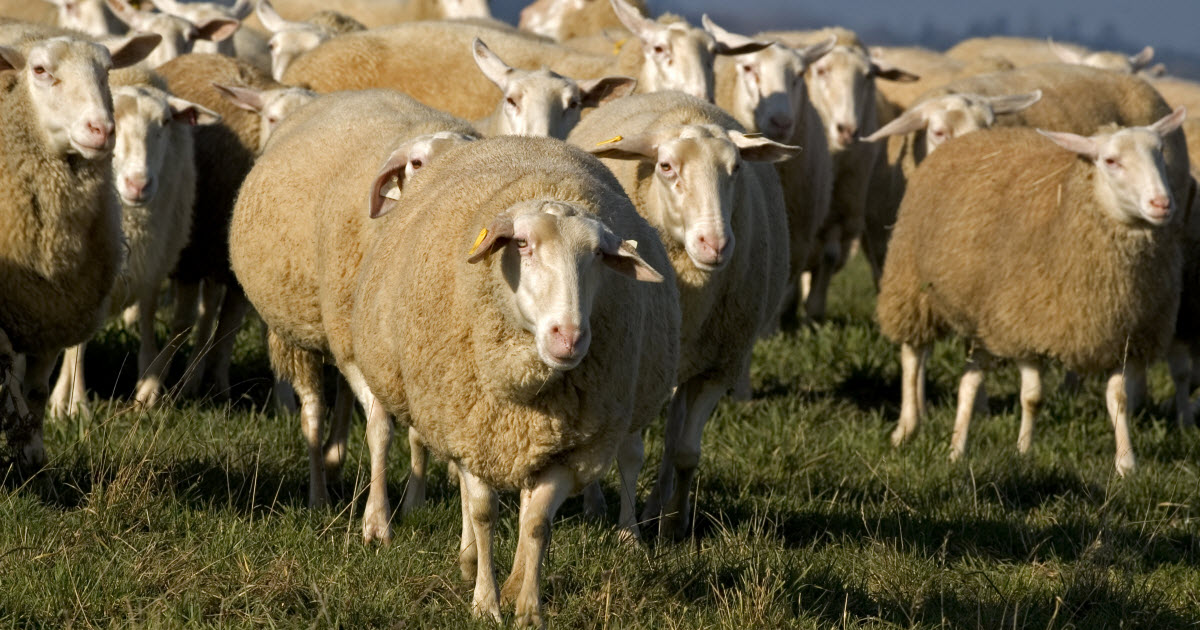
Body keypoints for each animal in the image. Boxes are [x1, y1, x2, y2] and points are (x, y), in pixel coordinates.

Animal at [0, 31, 161, 467]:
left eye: (107, 70)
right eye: (39, 70)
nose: (101, 129)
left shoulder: (52, 314)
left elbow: (36, 393)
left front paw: (32, 457)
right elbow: (9, 380)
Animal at [48, 67, 221, 417]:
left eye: (165, 122)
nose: (138, 184)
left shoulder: (154, 259)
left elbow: (149, 314)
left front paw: (148, 386)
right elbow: (77, 342)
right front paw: (71, 402)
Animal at [346, 134, 678, 625]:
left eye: (600, 255)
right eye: (521, 244)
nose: (569, 337)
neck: (529, 388)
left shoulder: (566, 447)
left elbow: (537, 523)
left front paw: (528, 607)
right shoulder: (468, 425)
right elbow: (483, 511)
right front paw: (485, 603)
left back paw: (515, 574)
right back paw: (450, 551)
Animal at [568, 91, 796, 539]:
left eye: (736, 168)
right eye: (666, 166)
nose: (715, 244)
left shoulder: (717, 366)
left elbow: (686, 451)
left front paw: (674, 523)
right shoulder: (639, 367)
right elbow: (628, 447)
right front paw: (627, 525)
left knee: (674, 436)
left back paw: (657, 508)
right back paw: (595, 504)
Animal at [876, 108, 1188, 476]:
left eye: (1161, 154)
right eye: (1111, 161)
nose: (1162, 203)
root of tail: (967, 139)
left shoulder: (1122, 336)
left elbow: (1119, 399)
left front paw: (1126, 464)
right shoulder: (1025, 325)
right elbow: (1032, 397)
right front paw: (1024, 451)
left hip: (979, 314)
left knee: (968, 379)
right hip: (912, 289)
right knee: (913, 355)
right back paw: (907, 426)